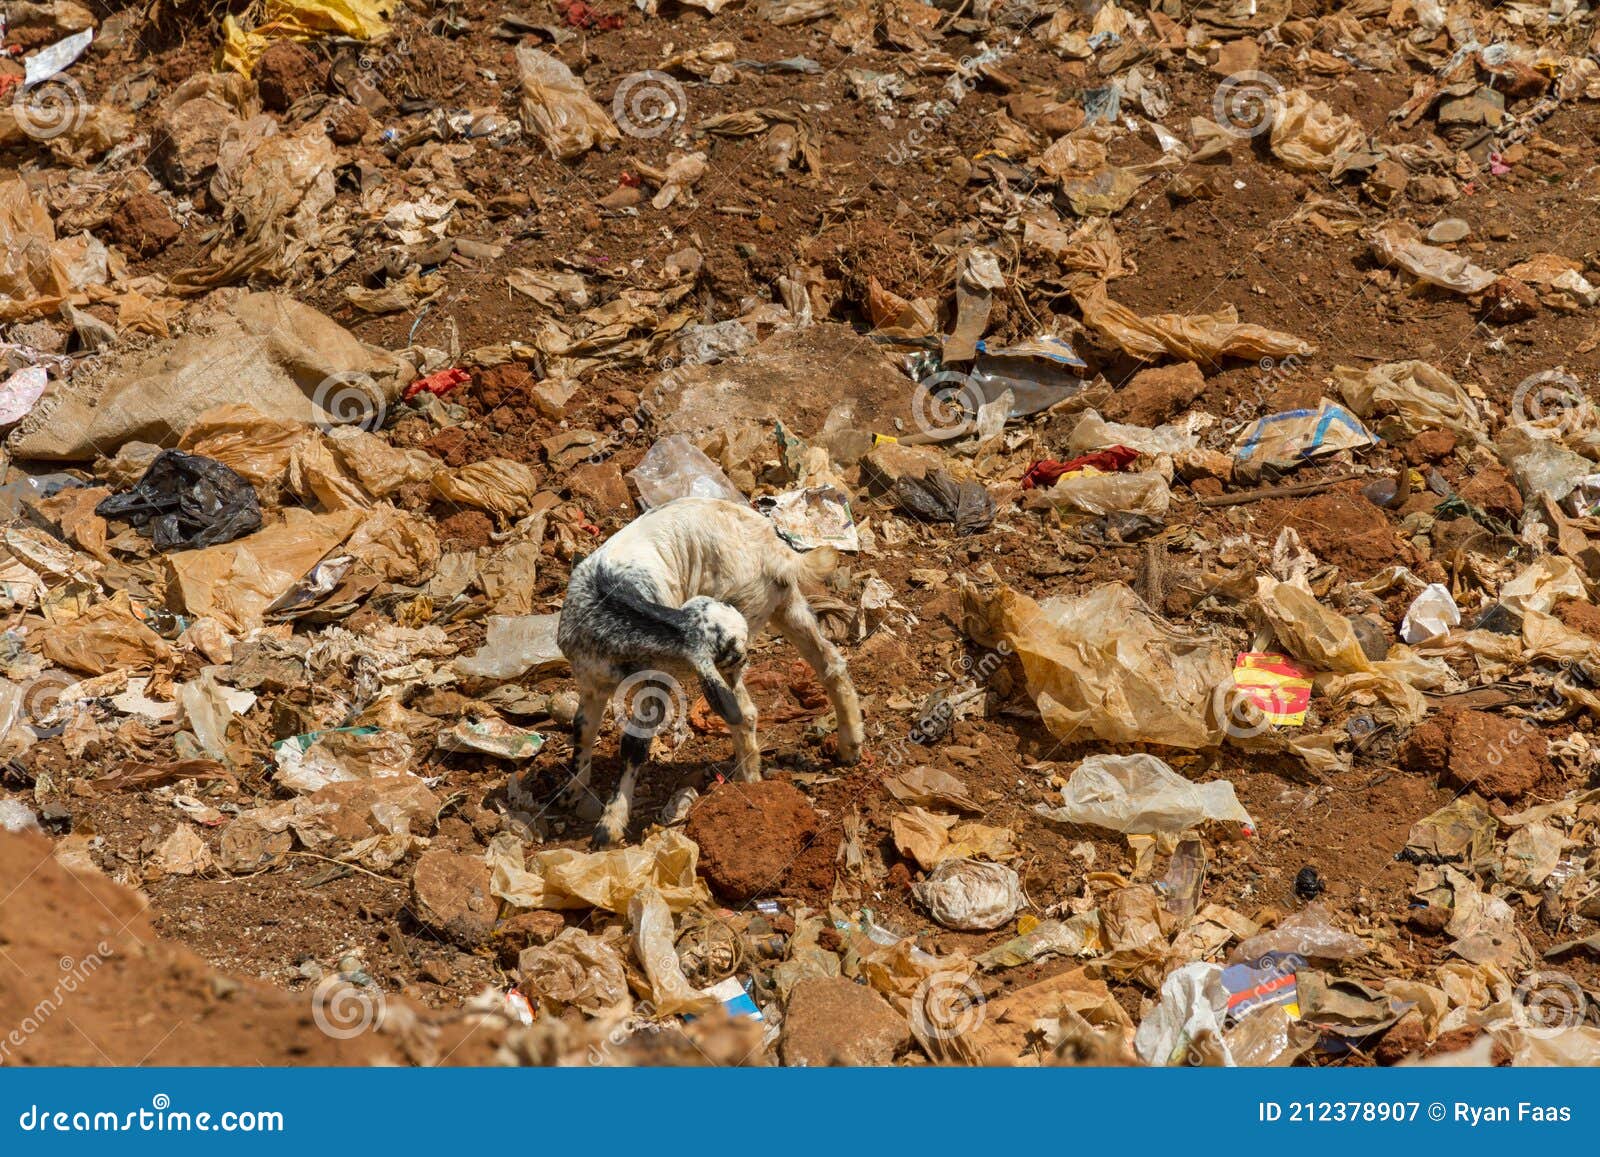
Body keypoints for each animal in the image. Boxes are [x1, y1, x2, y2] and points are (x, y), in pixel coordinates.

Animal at [555, 497, 864, 847]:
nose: (744, 660)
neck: (610, 610)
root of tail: (776, 552)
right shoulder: (591, 681)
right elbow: (582, 728)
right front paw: (573, 788)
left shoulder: (656, 679)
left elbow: (635, 742)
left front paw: (611, 823)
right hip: (786, 604)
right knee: (831, 665)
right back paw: (849, 745)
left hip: (749, 604)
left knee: (746, 713)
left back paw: (749, 782)